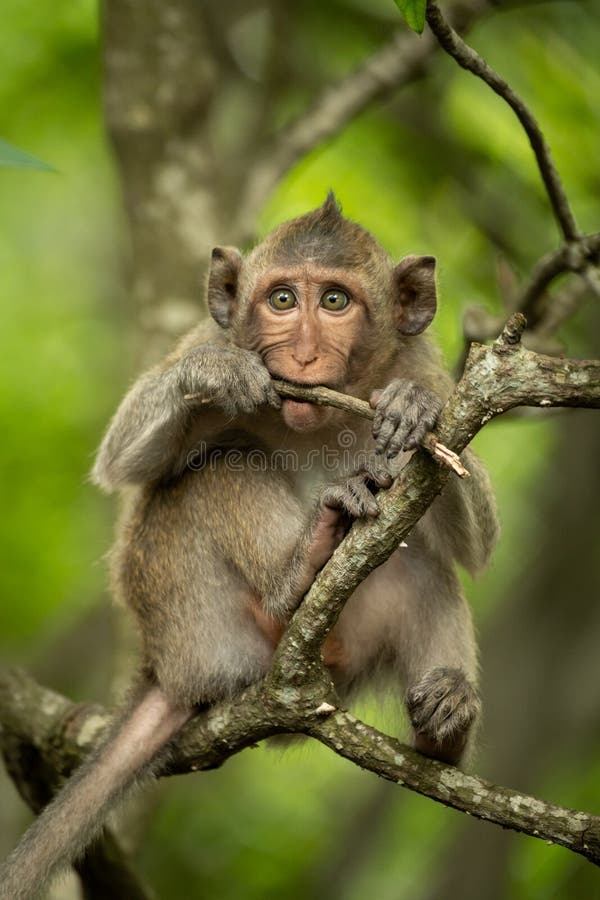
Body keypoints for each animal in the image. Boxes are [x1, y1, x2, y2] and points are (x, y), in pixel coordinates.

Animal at [0, 194, 498, 899]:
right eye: (282, 299)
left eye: (335, 302)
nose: (305, 355)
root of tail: (163, 665)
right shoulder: (209, 334)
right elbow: (121, 461)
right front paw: (215, 375)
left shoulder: (424, 363)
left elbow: (473, 538)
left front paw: (416, 406)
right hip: (200, 620)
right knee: (220, 465)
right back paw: (299, 568)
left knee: (426, 568)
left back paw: (444, 731)